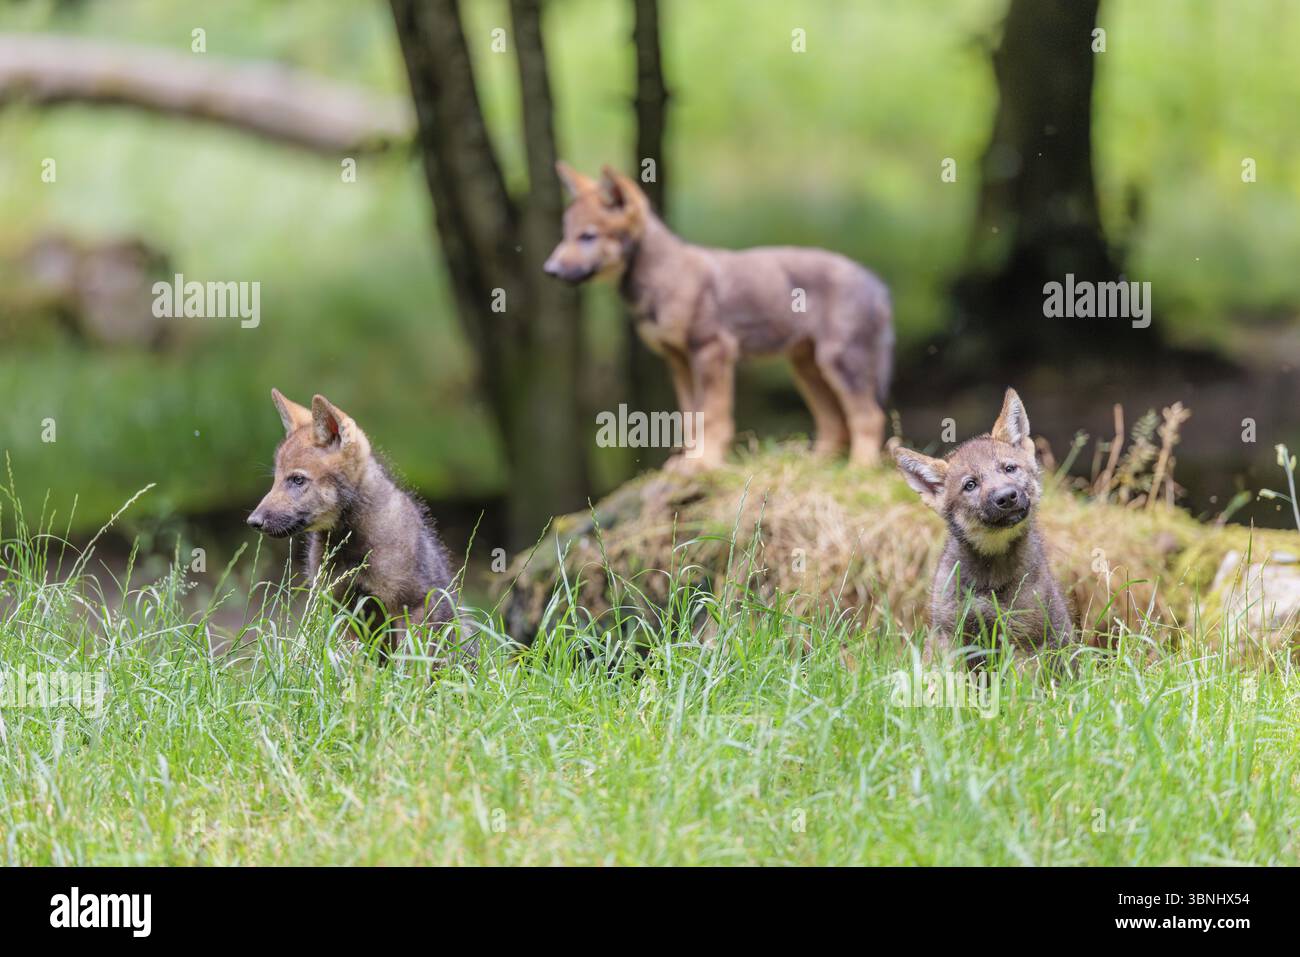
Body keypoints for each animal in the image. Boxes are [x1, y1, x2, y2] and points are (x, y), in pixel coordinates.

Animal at [247, 389, 463, 659]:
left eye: (297, 480)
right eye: (275, 480)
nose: (253, 521)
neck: (353, 547)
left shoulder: (410, 607)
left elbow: (407, 664)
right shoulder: (341, 610)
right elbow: (353, 662)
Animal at [543, 162, 894, 470]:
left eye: (588, 236)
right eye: (566, 234)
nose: (550, 270)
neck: (662, 278)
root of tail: (874, 281)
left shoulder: (713, 350)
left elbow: (712, 416)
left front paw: (705, 463)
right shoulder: (678, 360)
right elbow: (690, 417)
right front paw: (688, 462)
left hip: (838, 362)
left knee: (868, 417)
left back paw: (859, 470)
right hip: (806, 367)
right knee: (835, 423)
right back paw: (813, 466)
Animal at [892, 388, 1074, 664]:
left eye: (1009, 468)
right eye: (970, 485)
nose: (1006, 497)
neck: (990, 575)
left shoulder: (1024, 638)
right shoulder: (950, 635)